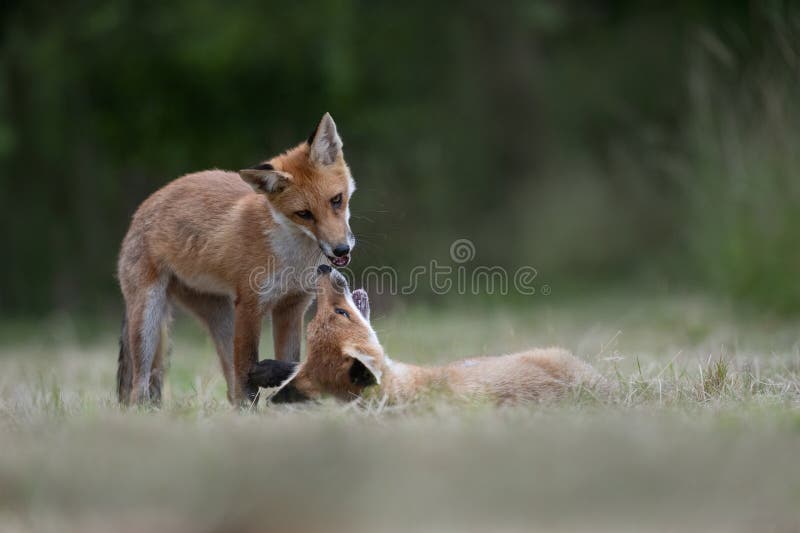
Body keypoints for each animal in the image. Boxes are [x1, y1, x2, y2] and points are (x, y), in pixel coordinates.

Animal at [117, 113, 356, 406]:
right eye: (304, 214)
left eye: (337, 200)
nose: (341, 250)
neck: (293, 259)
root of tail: (144, 205)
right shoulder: (250, 305)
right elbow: (246, 372)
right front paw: (251, 410)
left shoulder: (292, 306)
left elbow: (289, 360)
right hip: (148, 319)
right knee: (139, 386)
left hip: (220, 316)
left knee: (229, 386)